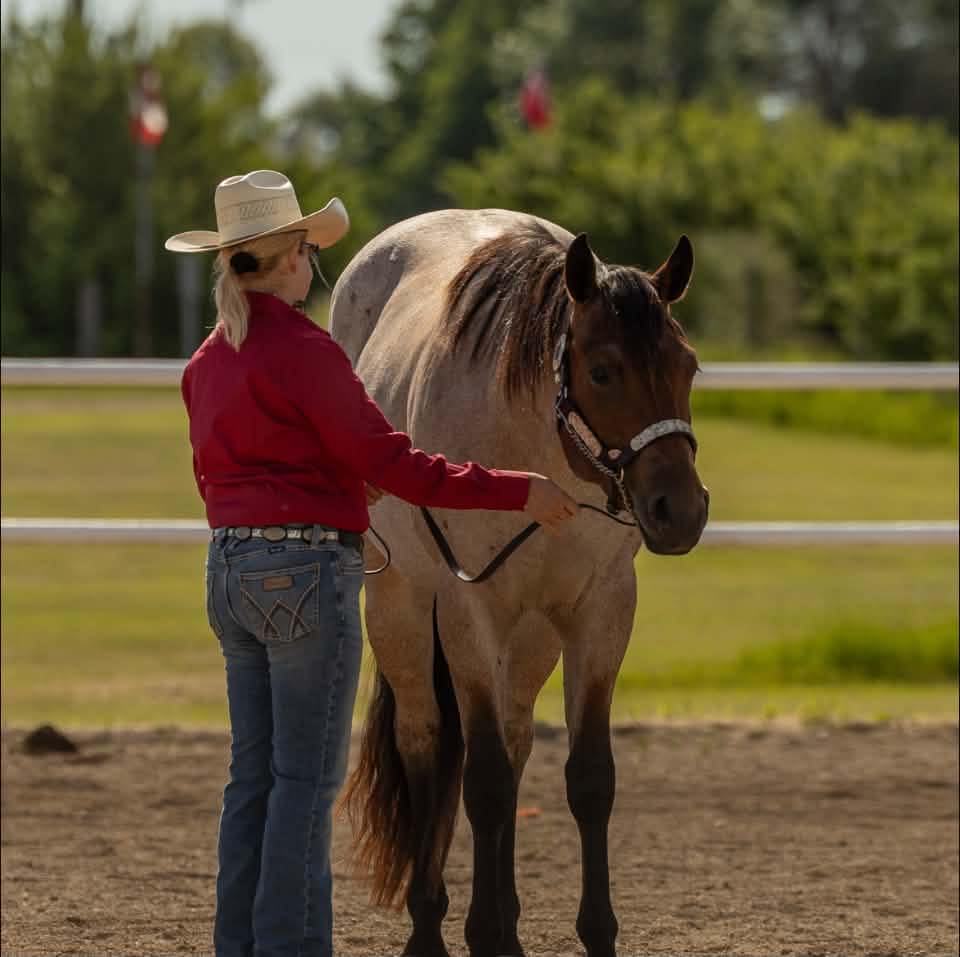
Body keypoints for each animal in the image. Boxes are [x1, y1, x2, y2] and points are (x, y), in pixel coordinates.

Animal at [330, 208, 708, 957]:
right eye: (603, 370)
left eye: (688, 365)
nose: (680, 510)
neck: (540, 459)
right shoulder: (470, 610)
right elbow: (482, 782)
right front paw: (472, 930)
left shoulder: (601, 613)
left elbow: (588, 779)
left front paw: (593, 933)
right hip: (401, 606)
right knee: (427, 744)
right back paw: (433, 924)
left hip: (531, 635)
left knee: (512, 739)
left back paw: (504, 919)